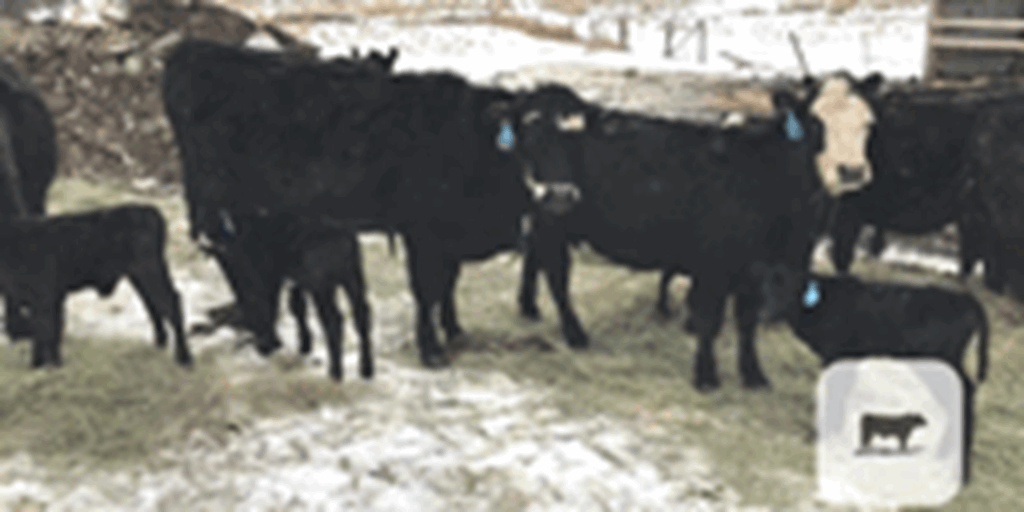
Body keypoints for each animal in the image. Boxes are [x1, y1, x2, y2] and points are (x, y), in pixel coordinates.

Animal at [0, 204, 192, 369]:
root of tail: (149, 211)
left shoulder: (45, 297)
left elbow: (46, 330)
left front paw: (49, 366)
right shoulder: (41, 299)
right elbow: (43, 331)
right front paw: (40, 365)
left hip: (150, 270)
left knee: (171, 303)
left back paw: (184, 358)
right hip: (139, 275)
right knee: (152, 304)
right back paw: (160, 342)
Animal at [209, 211, 372, 382]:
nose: (262, 347)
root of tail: (342, 240)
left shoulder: (274, 274)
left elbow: (274, 301)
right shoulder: (297, 280)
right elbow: (297, 306)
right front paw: (304, 346)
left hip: (322, 286)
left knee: (333, 320)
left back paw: (335, 372)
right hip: (353, 277)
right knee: (362, 315)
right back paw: (366, 370)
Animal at [515, 72, 882, 391]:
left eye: (868, 123)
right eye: (815, 124)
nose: (851, 171)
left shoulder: (763, 268)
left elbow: (747, 321)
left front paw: (753, 376)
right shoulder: (714, 263)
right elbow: (710, 319)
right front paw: (706, 376)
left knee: (534, 256)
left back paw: (528, 308)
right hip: (554, 209)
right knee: (557, 274)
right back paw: (575, 334)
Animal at [752, 261, 988, 483]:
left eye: (788, 289)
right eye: (764, 288)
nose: (763, 315)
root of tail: (966, 299)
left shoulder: (836, 354)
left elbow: (835, 392)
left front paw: (819, 435)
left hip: (941, 360)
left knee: (964, 390)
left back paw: (959, 467)